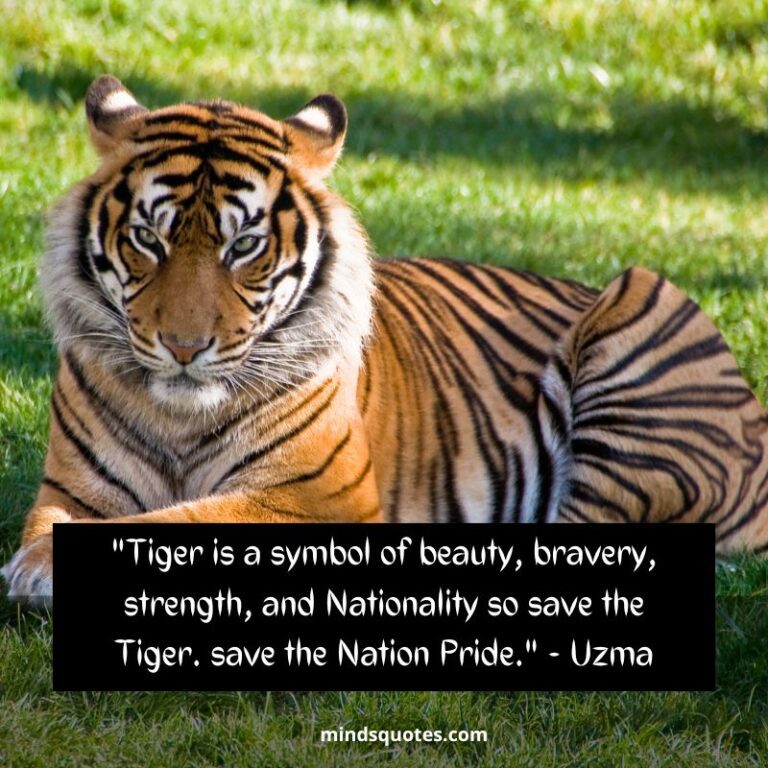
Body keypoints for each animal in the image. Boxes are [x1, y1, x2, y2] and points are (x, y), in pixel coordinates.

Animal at [4, 75, 768, 607]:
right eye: (147, 238)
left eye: (243, 246)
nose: (185, 348)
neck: (181, 415)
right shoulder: (70, 484)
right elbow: (59, 521)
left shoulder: (319, 499)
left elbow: (179, 518)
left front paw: (37, 570)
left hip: (642, 309)